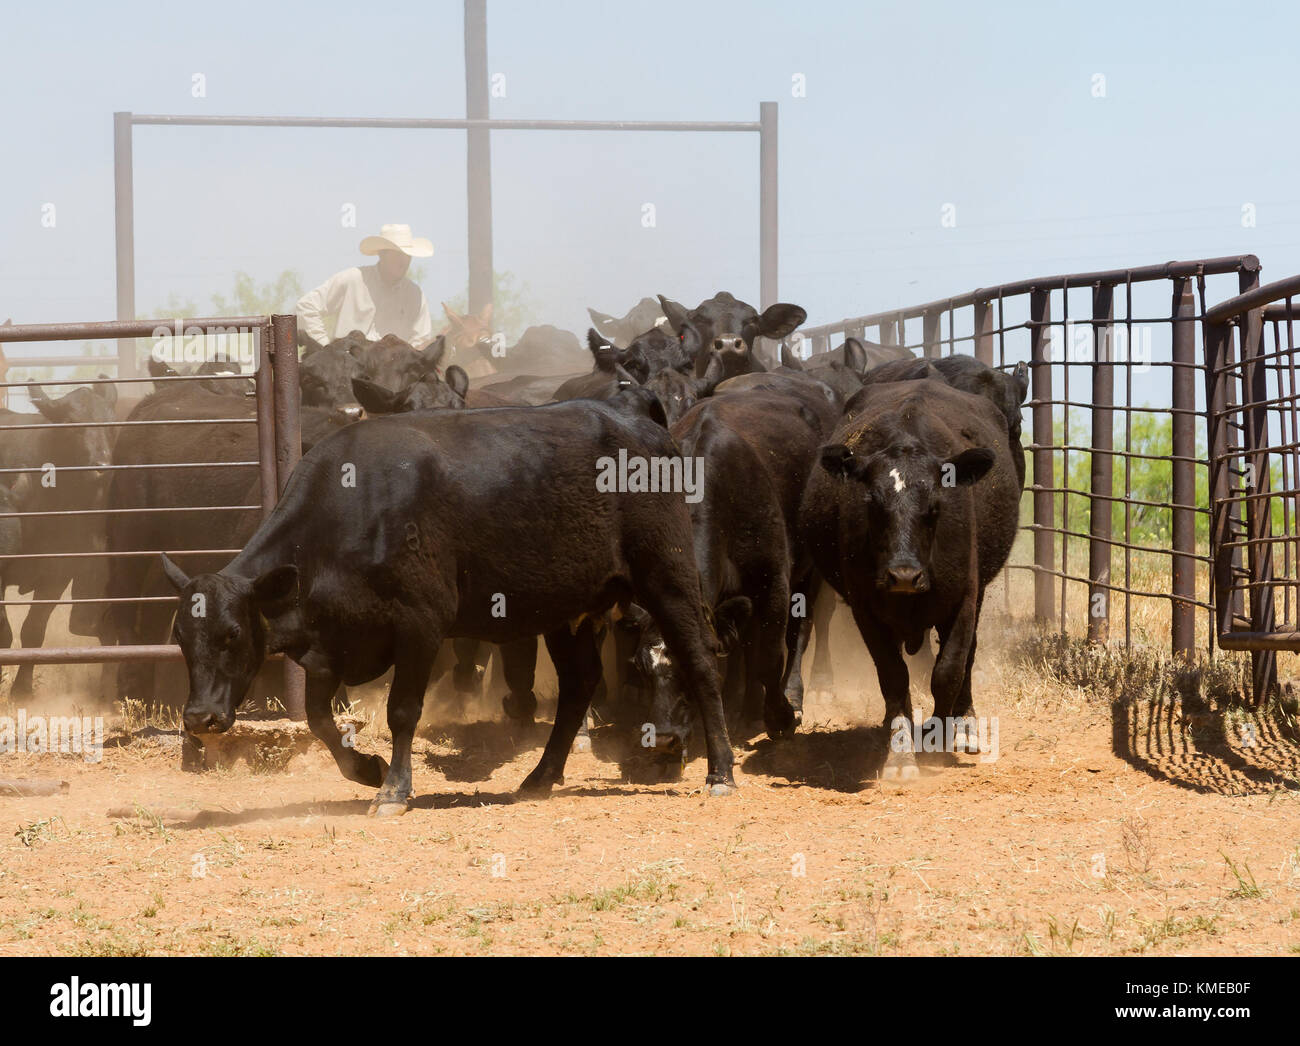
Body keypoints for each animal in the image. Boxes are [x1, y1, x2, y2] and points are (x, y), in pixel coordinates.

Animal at [161, 391, 739, 815]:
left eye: (233, 634)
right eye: (182, 638)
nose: (200, 717)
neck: (353, 508)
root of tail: (639, 421)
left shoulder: (420, 626)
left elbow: (401, 711)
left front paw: (394, 789)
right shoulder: (331, 643)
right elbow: (319, 717)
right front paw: (365, 770)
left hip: (668, 577)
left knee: (699, 662)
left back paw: (721, 772)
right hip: (566, 611)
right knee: (579, 685)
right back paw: (539, 777)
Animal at [799, 379, 1022, 780]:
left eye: (934, 507)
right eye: (872, 504)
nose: (903, 575)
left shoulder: (963, 600)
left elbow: (948, 671)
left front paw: (939, 741)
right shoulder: (866, 609)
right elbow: (894, 677)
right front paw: (900, 752)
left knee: (967, 657)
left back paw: (965, 722)